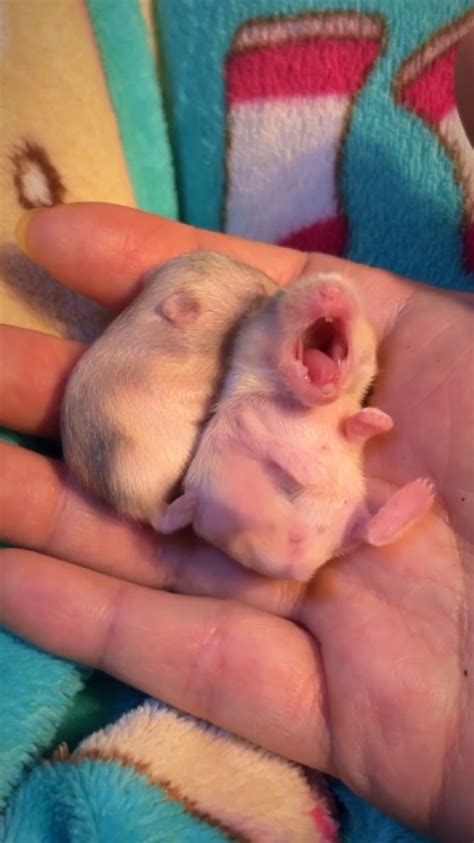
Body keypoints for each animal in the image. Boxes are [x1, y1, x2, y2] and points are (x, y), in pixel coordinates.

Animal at [156, 271, 434, 582]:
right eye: (278, 298)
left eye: (359, 304)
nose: (331, 288)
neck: (303, 404)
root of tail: (297, 564)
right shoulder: (239, 414)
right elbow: (265, 439)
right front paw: (312, 471)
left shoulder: (343, 421)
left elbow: (351, 431)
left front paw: (375, 420)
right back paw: (193, 506)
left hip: (349, 519)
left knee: (366, 531)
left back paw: (418, 495)